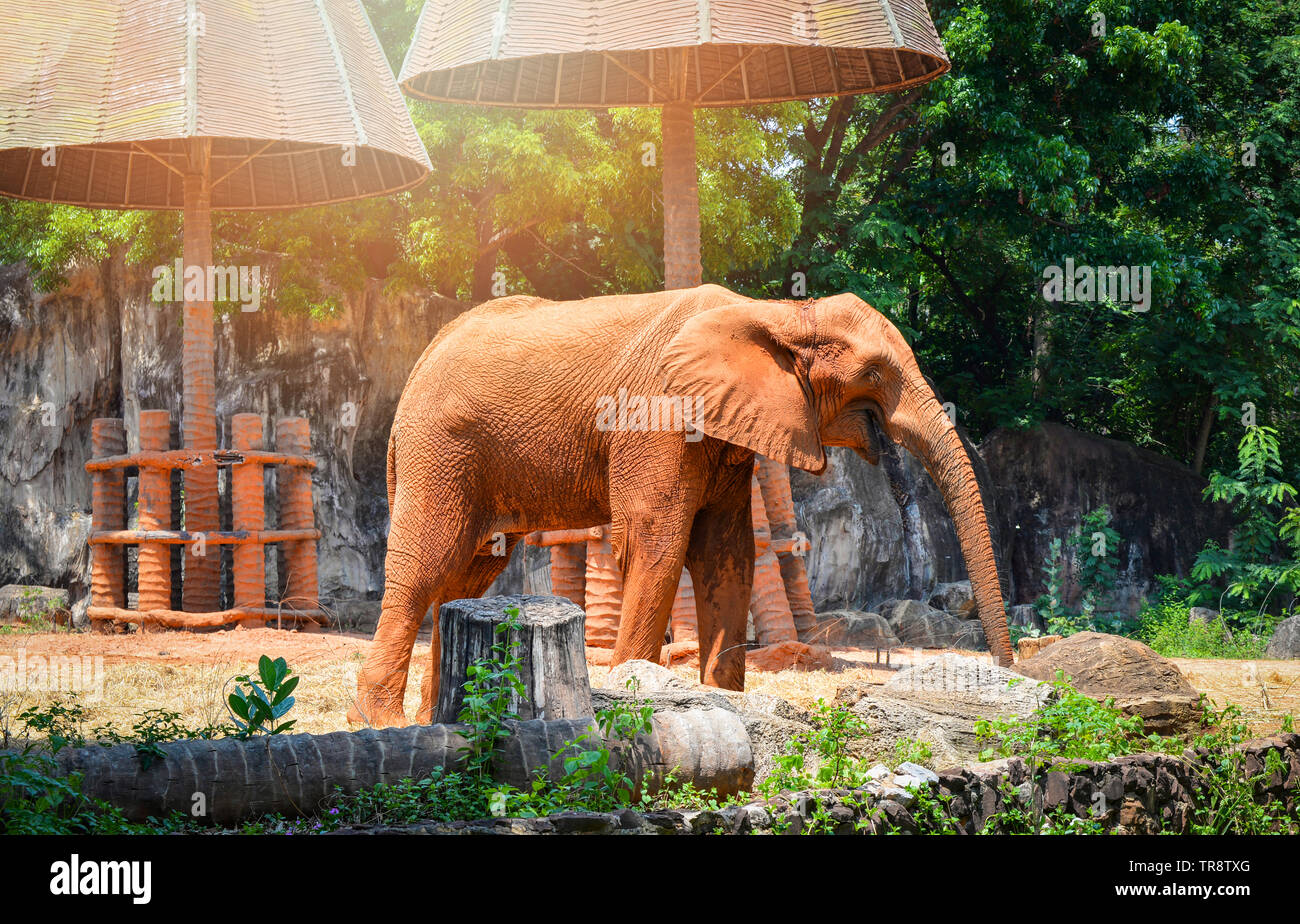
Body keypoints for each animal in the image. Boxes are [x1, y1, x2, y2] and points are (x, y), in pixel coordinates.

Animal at [350, 284, 1013, 727]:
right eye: (873, 374)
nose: (1009, 675)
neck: (775, 311)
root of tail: (421, 361)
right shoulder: (659, 416)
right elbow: (658, 543)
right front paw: (632, 696)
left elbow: (726, 554)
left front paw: (723, 699)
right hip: (441, 447)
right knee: (425, 566)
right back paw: (379, 725)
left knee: (467, 575)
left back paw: (440, 720)